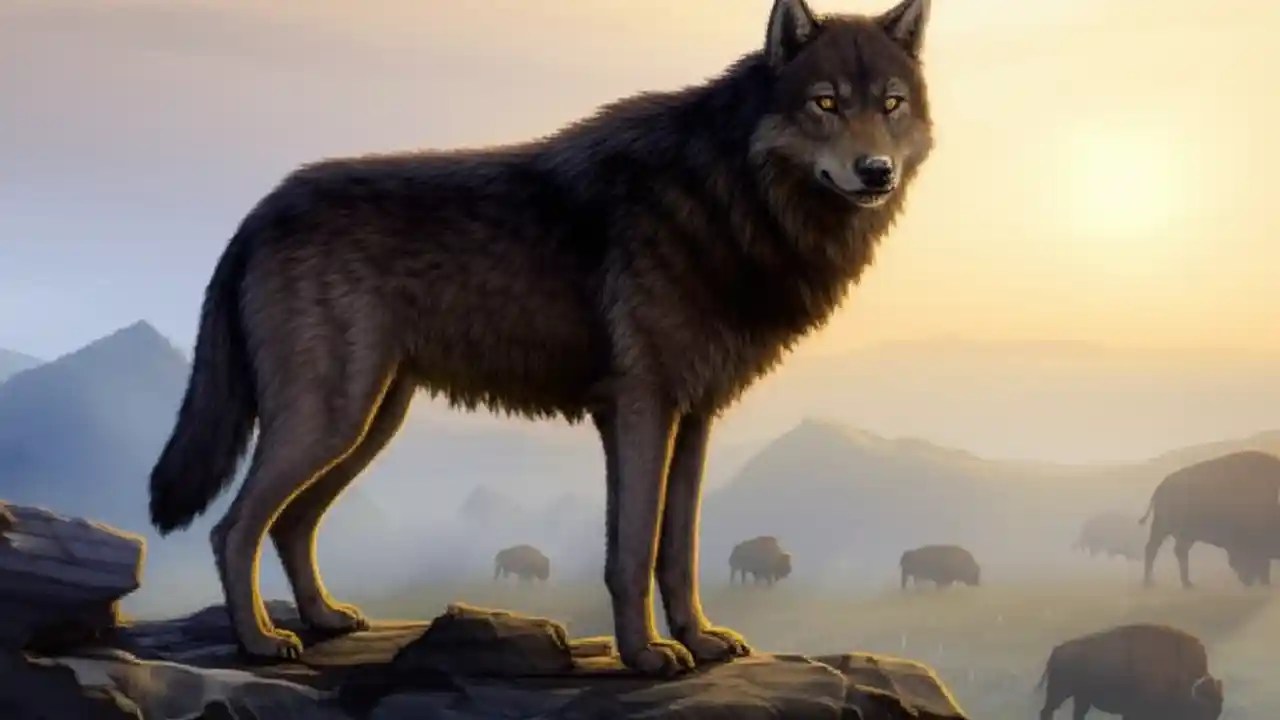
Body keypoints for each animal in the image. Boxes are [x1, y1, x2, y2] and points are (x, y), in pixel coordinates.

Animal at [148, 0, 934, 676]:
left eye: (891, 104)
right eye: (825, 103)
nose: (875, 172)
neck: (727, 195)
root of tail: (259, 211)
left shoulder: (695, 418)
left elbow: (678, 550)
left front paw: (700, 640)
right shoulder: (641, 409)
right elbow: (633, 551)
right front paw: (646, 656)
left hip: (368, 424)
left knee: (293, 523)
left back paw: (323, 619)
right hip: (333, 420)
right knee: (234, 528)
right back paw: (259, 641)